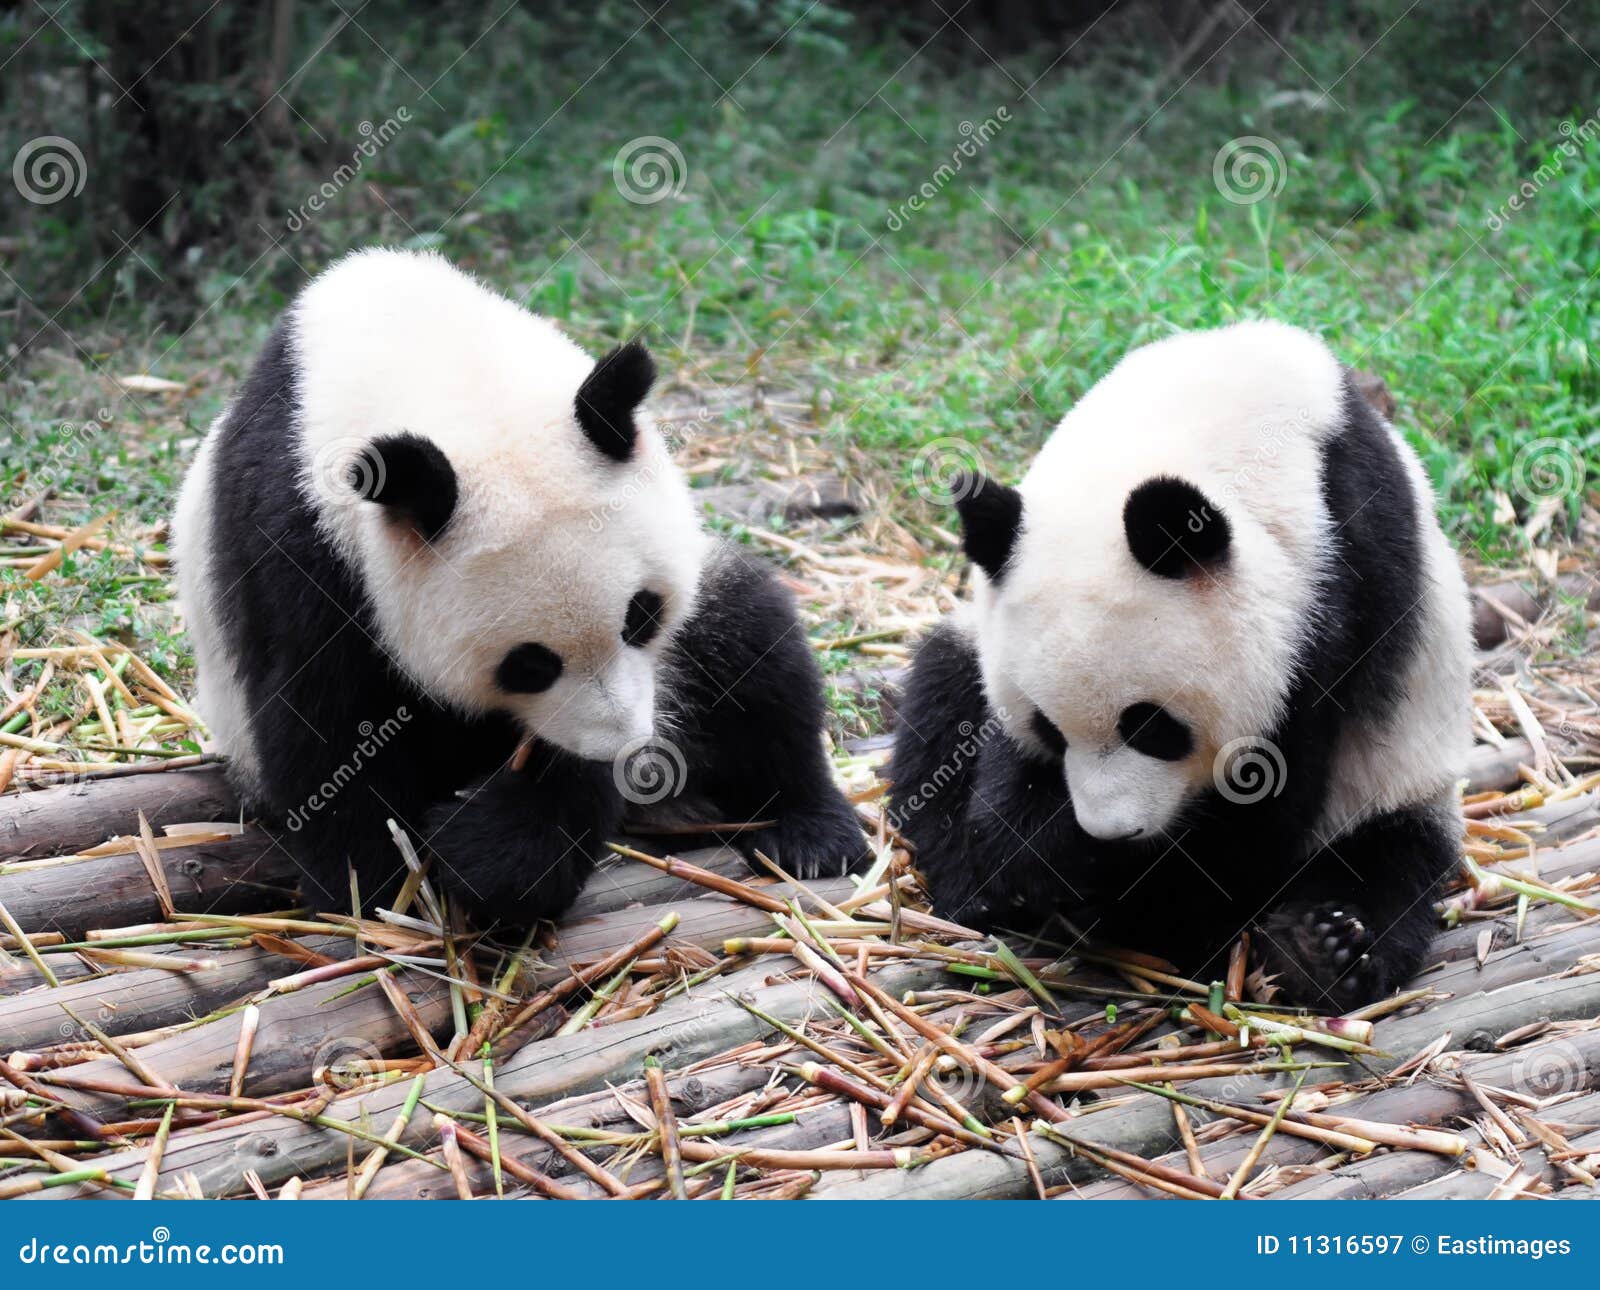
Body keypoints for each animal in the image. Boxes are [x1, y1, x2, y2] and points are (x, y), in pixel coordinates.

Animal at [174, 248, 866, 926]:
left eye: (641, 616)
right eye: (529, 664)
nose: (623, 745)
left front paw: (489, 851)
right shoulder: (304, 547)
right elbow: (329, 726)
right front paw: (375, 893)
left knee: (754, 648)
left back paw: (811, 834)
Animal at [889, 321, 1472, 1010]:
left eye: (1151, 726)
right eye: (1048, 729)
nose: (1110, 832)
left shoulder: (1343, 581)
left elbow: (1262, 811)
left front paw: (1165, 915)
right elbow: (1001, 791)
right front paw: (1053, 865)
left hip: (1405, 771)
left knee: (1391, 860)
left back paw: (1324, 946)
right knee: (939, 700)